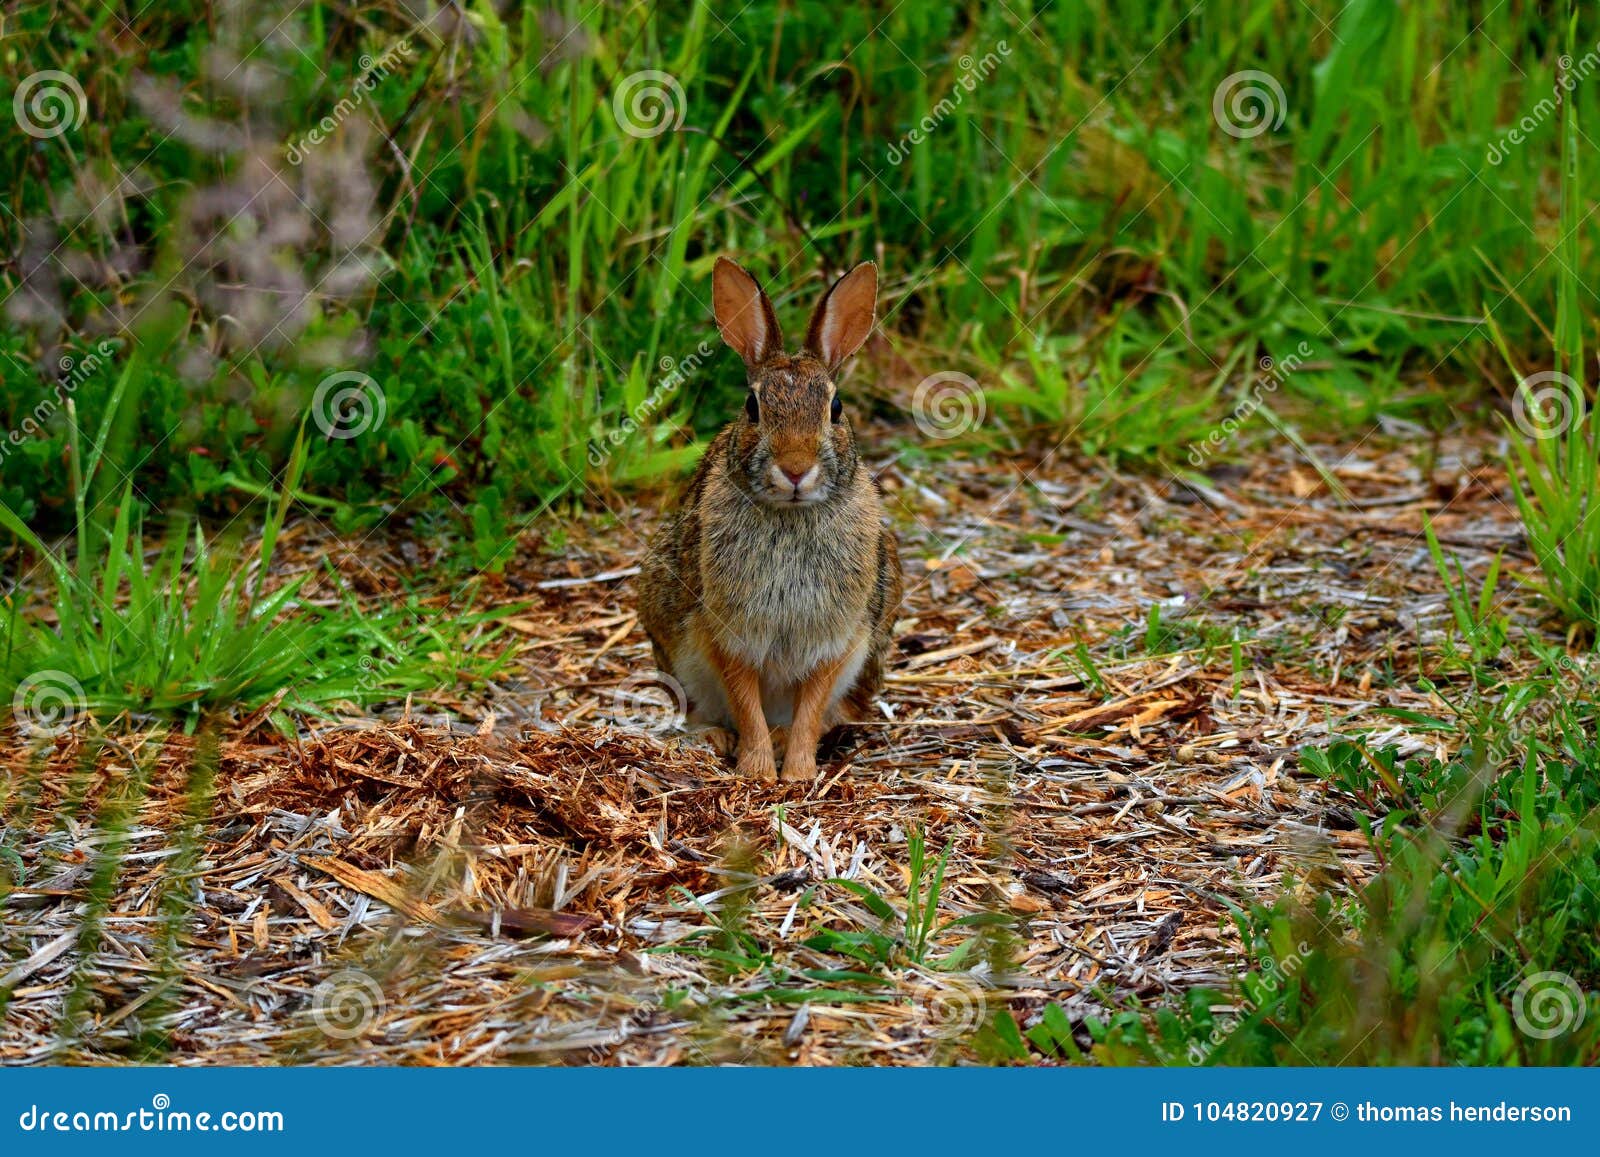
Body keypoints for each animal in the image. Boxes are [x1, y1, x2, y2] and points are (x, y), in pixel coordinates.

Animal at [637, 257, 902, 782]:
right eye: (752, 406)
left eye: (835, 408)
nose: (796, 468)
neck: (791, 514)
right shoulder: (728, 633)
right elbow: (745, 700)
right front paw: (758, 771)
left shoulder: (835, 639)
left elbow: (812, 705)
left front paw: (797, 771)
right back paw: (715, 738)